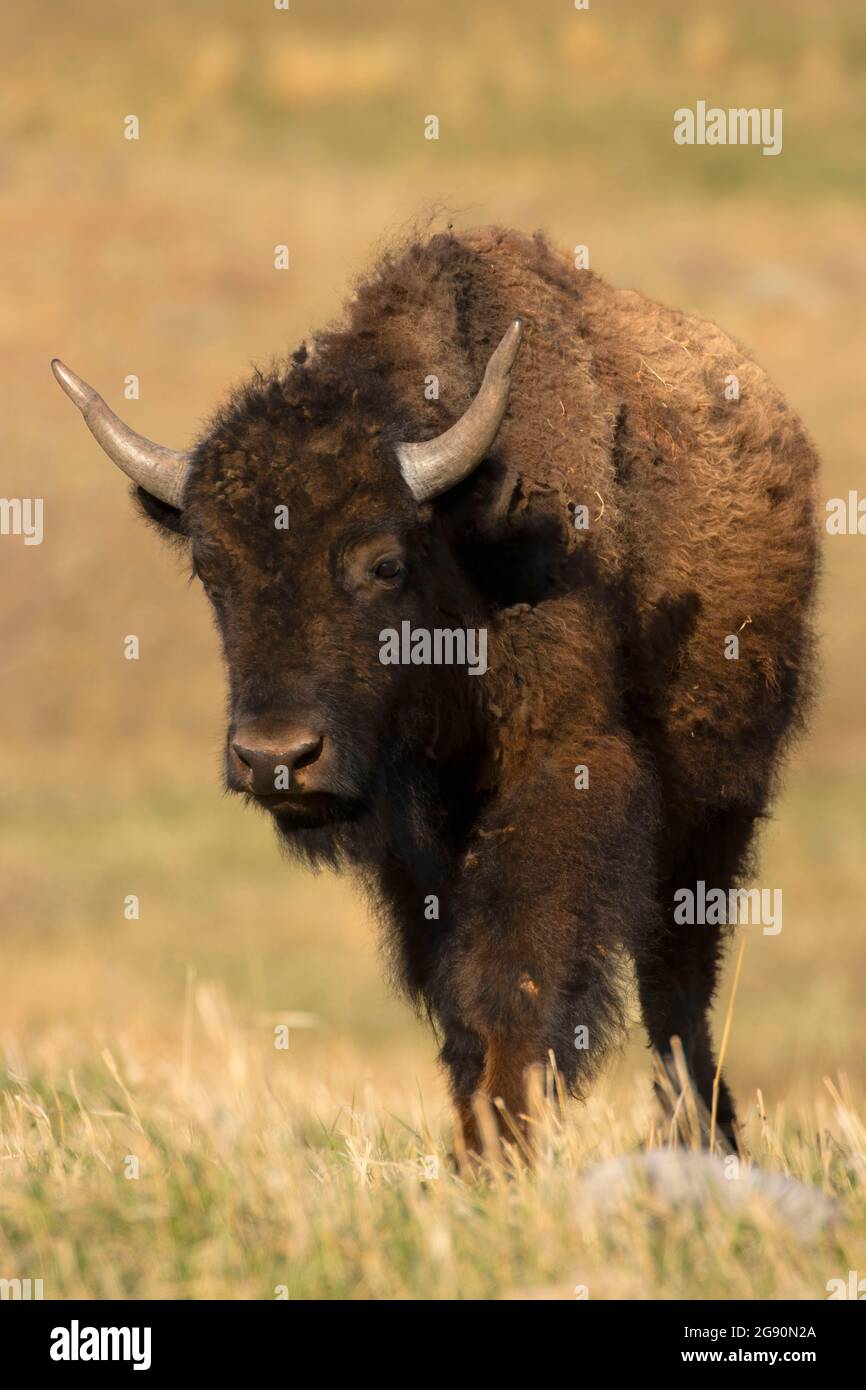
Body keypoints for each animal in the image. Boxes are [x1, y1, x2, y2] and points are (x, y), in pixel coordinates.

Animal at [53, 227, 819, 1153]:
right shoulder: (412, 852)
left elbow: (512, 973)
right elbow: (456, 999)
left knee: (677, 985)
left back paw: (703, 1141)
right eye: (209, 567)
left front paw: (501, 1155)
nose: (276, 757)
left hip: (715, 814)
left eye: (384, 562)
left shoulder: (563, 778)